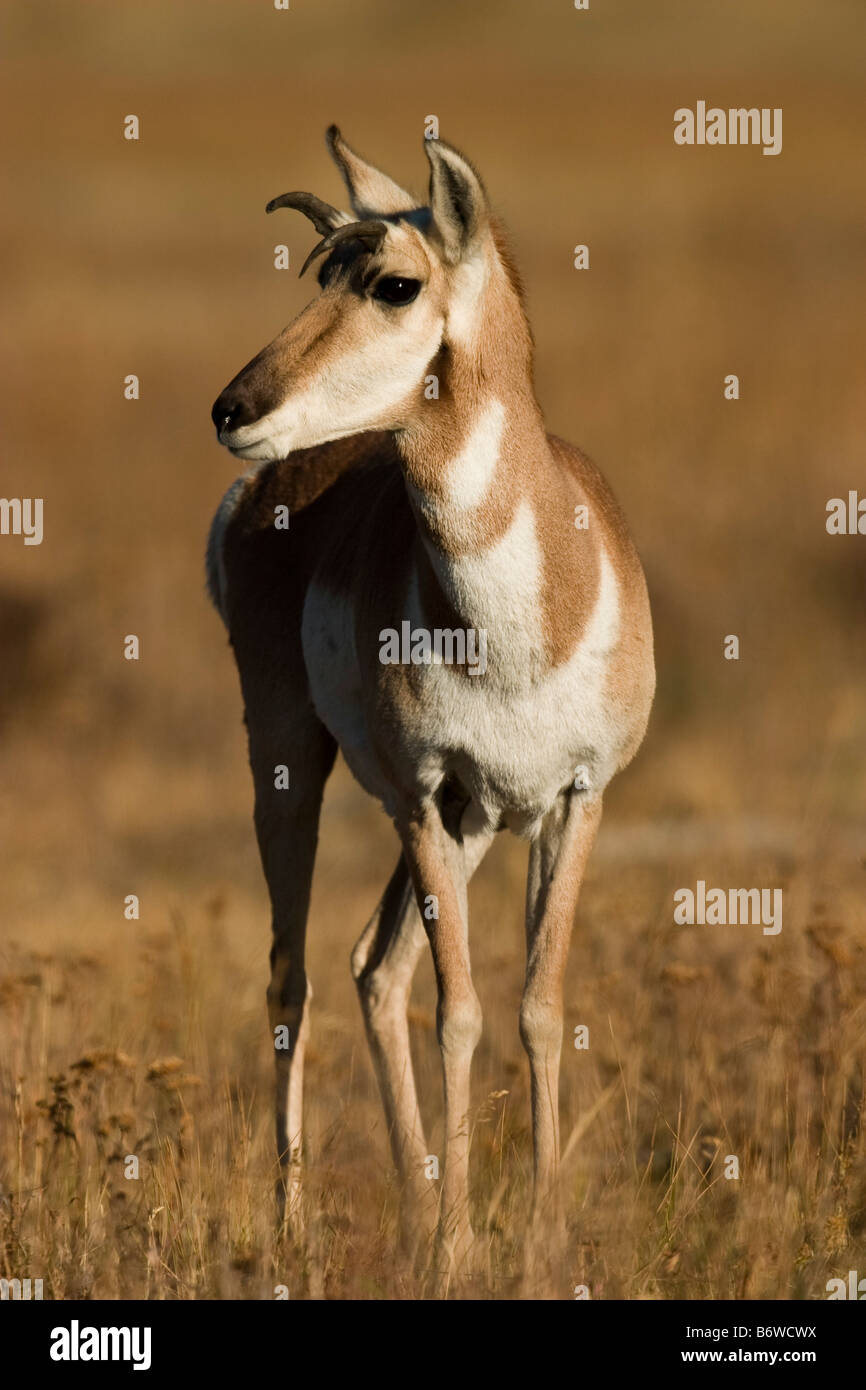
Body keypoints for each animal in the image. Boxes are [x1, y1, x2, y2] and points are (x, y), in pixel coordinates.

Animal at [206, 127, 655, 1267]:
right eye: (315, 273)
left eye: (394, 284)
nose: (232, 408)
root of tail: (271, 485)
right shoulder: (418, 794)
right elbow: (459, 1013)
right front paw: (458, 1250)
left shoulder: (572, 798)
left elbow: (536, 1004)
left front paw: (540, 1237)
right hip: (302, 766)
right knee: (295, 975)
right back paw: (299, 1227)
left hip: (475, 825)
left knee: (374, 966)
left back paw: (410, 1207)